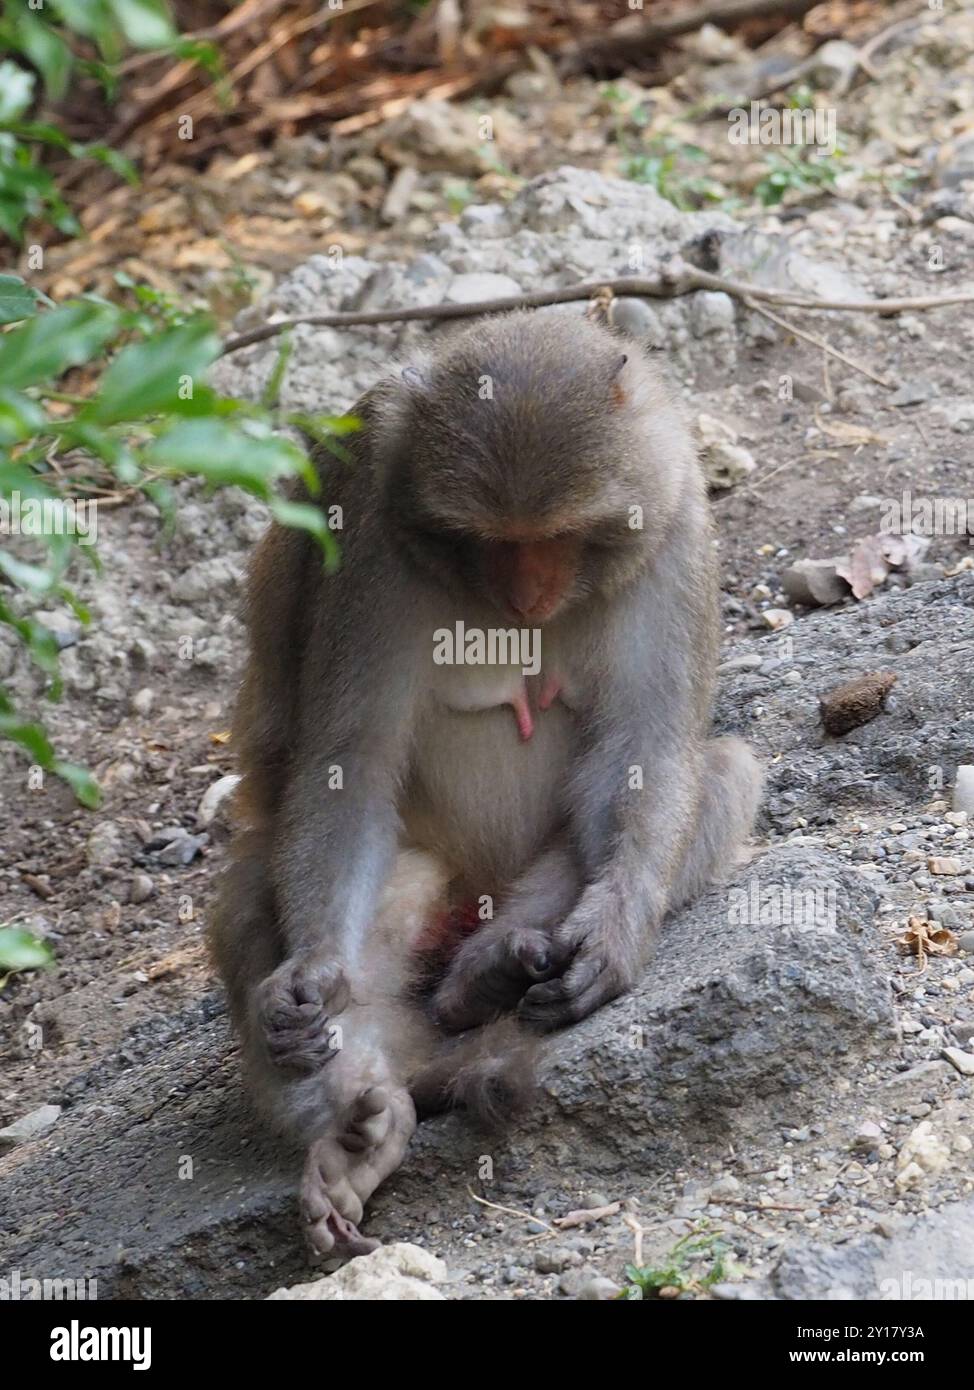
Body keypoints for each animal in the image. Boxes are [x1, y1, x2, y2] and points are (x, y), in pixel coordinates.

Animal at [209, 309, 762, 1259]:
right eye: (491, 542)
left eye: (556, 537)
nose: (527, 596)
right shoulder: (369, 532)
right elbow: (349, 758)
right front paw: (312, 974)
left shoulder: (675, 515)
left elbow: (647, 743)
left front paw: (611, 934)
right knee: (257, 896)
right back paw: (362, 1121)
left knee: (723, 773)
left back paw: (488, 973)